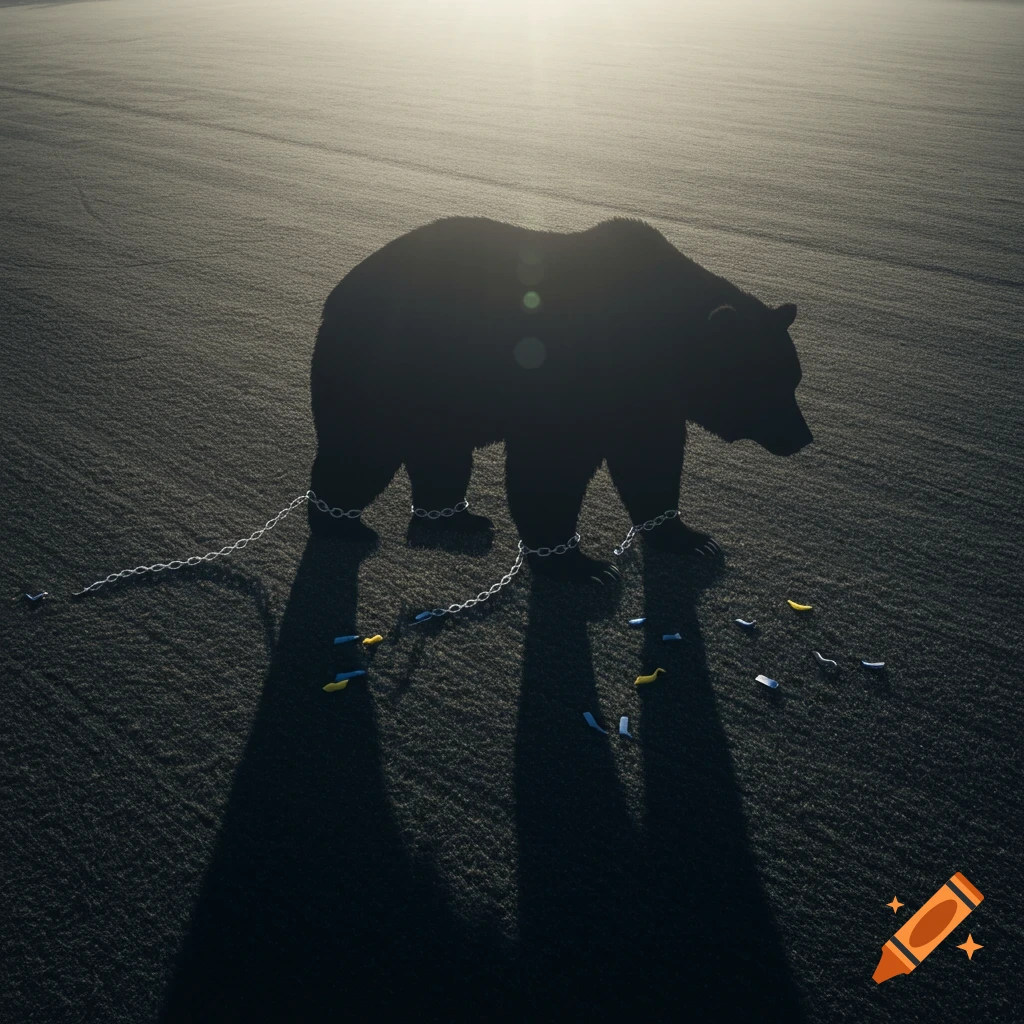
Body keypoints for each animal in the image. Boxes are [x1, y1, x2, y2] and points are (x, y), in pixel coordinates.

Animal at [308, 216, 812, 584]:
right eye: (768, 385)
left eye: (794, 379)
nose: (802, 436)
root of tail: (336, 295)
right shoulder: (569, 382)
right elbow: (550, 468)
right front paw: (583, 566)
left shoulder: (649, 402)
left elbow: (652, 462)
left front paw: (690, 538)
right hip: (387, 369)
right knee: (360, 451)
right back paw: (342, 523)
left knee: (440, 455)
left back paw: (456, 519)